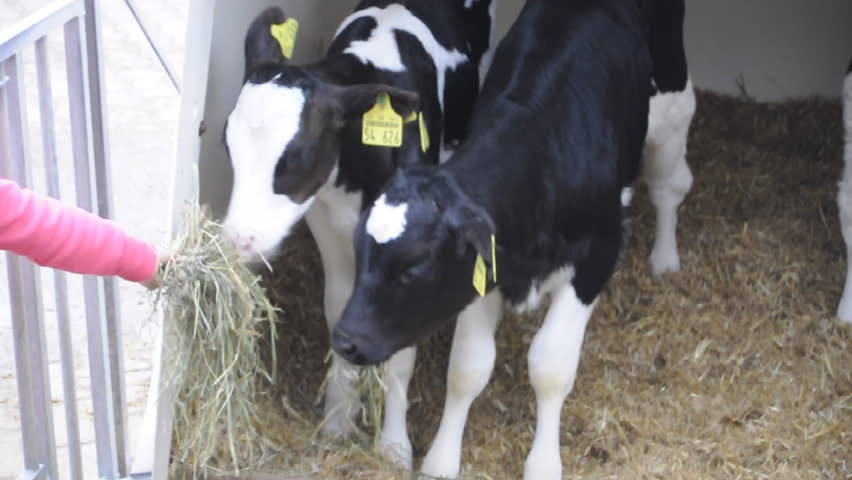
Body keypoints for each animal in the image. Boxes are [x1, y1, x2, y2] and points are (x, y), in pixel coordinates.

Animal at [219, 1, 496, 468]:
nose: (239, 240)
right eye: (228, 146)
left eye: (297, 157)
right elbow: (338, 310)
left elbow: (400, 348)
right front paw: (338, 416)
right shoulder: (328, 224)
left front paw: (394, 447)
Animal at [330, 0, 690, 478]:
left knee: (670, 182)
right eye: (361, 253)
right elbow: (468, 367)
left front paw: (543, 464)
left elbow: (550, 366)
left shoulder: (595, 259)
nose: (344, 339)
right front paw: (442, 460)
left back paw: (665, 259)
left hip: (672, 97)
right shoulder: (485, 271)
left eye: (413, 269)